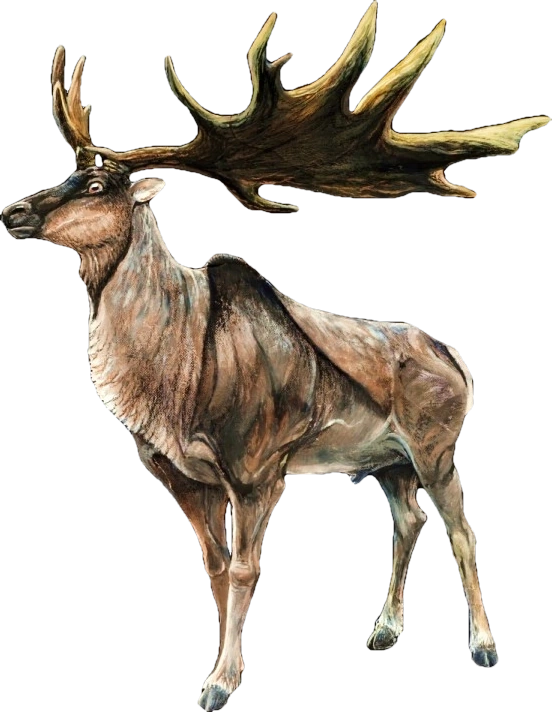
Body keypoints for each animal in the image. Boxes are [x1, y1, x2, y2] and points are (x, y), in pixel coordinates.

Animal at [4, 5, 531, 708]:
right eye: (64, 174)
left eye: (91, 183)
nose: (12, 211)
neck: (177, 378)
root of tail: (458, 363)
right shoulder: (181, 474)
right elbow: (214, 566)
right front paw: (216, 672)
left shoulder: (258, 465)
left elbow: (245, 567)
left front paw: (221, 682)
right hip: (388, 460)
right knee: (409, 520)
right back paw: (383, 630)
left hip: (436, 444)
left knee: (463, 531)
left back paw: (484, 646)